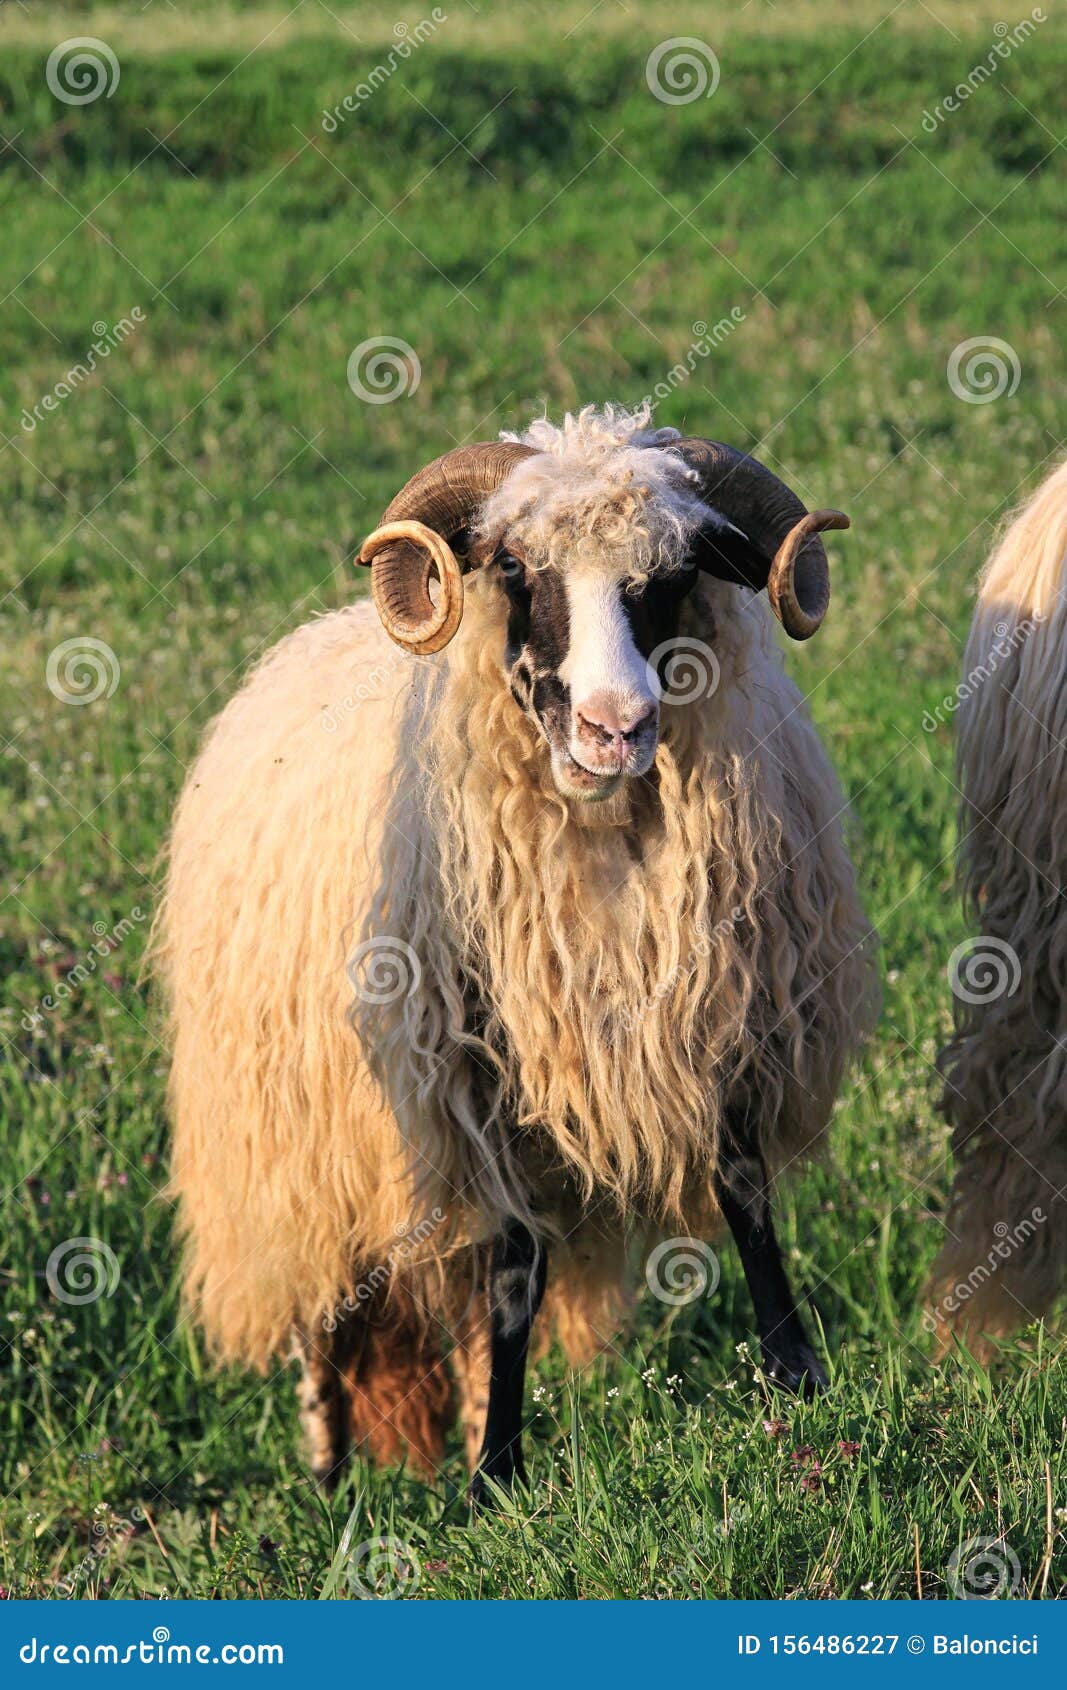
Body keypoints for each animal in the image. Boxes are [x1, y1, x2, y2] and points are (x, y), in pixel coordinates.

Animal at [158, 403, 877, 1496]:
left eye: (672, 571)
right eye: (511, 565)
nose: (613, 725)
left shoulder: (721, 1020)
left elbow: (743, 1190)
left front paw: (795, 1374)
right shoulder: (474, 1080)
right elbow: (511, 1268)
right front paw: (497, 1471)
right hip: (299, 1144)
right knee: (328, 1306)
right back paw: (329, 1467)